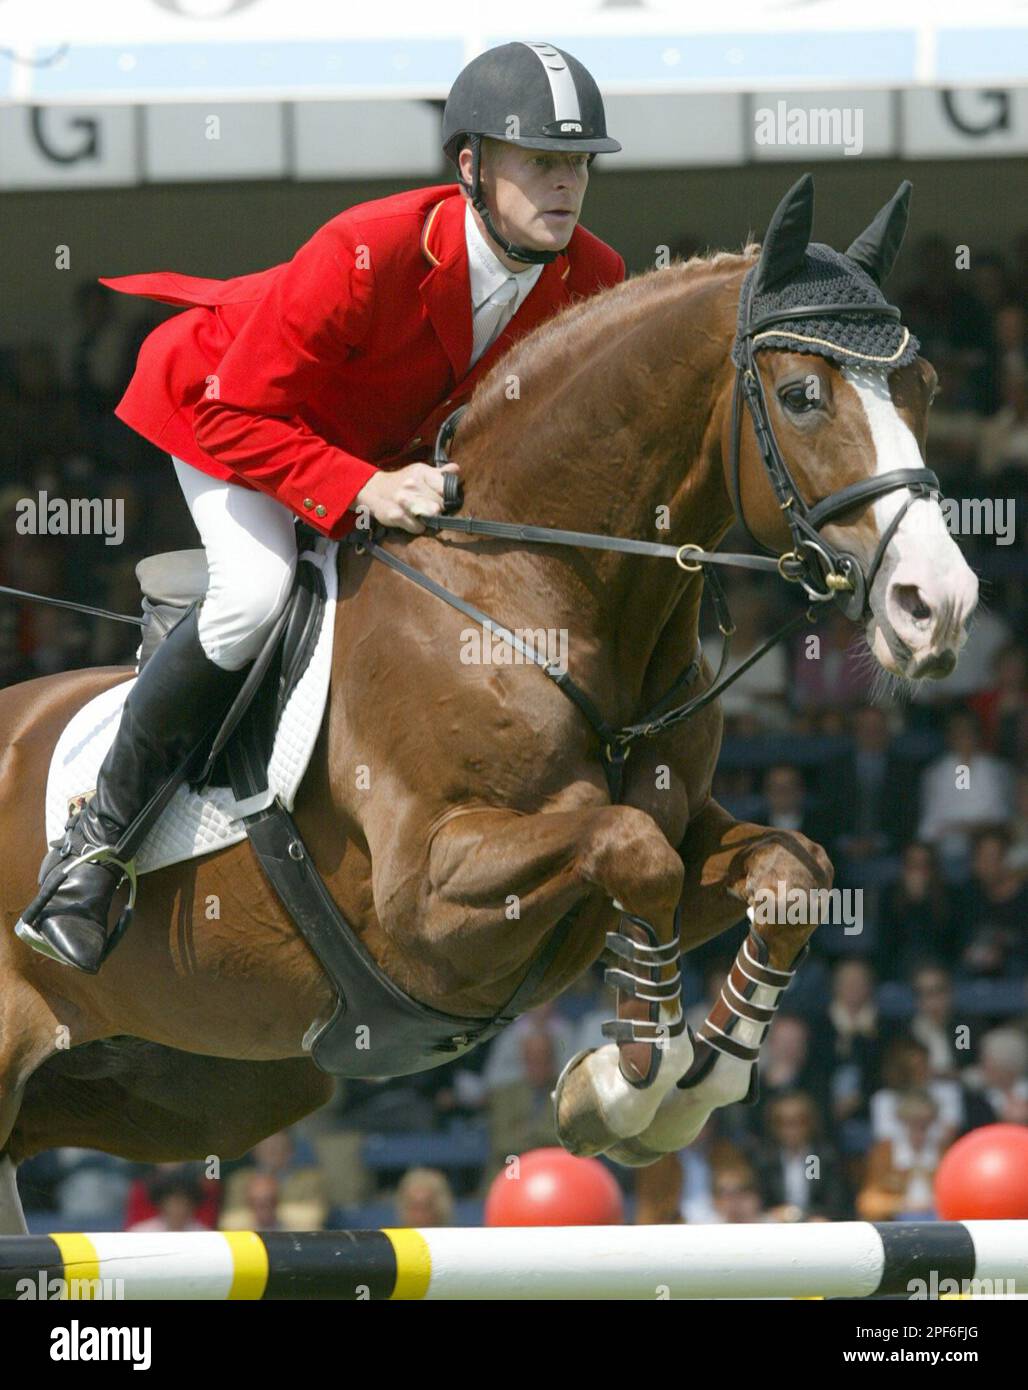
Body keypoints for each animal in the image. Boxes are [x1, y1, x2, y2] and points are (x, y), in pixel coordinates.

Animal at [0, 176, 977, 1228]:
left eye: (926, 390)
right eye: (801, 397)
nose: (938, 605)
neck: (533, 591)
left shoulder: (685, 833)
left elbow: (791, 868)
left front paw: (681, 1081)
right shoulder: (423, 906)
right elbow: (628, 847)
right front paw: (625, 1082)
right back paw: (78, 892)